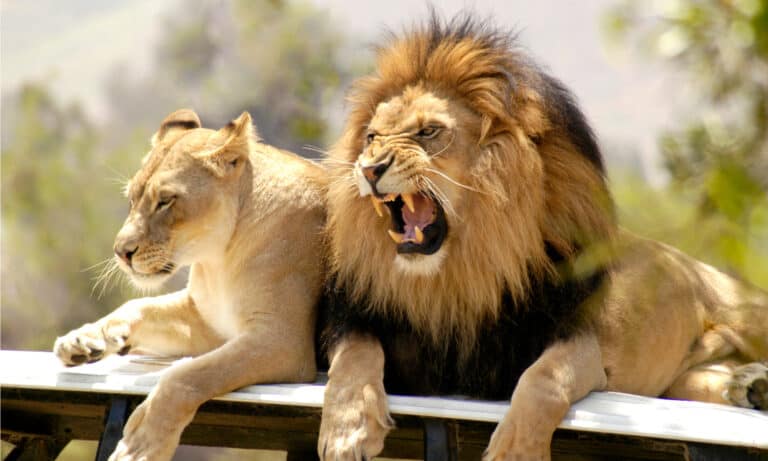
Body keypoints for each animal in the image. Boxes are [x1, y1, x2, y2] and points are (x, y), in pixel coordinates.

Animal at [53, 108, 326, 461]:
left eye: (166, 201)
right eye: (132, 199)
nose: (121, 252)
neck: (219, 259)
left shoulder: (283, 341)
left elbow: (188, 374)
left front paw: (141, 445)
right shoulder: (208, 323)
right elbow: (139, 305)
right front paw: (84, 339)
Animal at [317, 14, 768, 460]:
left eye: (428, 131)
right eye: (372, 137)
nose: (370, 168)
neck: (455, 277)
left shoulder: (577, 339)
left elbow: (544, 380)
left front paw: (514, 451)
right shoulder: (357, 319)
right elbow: (353, 357)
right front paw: (348, 430)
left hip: (744, 312)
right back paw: (749, 386)